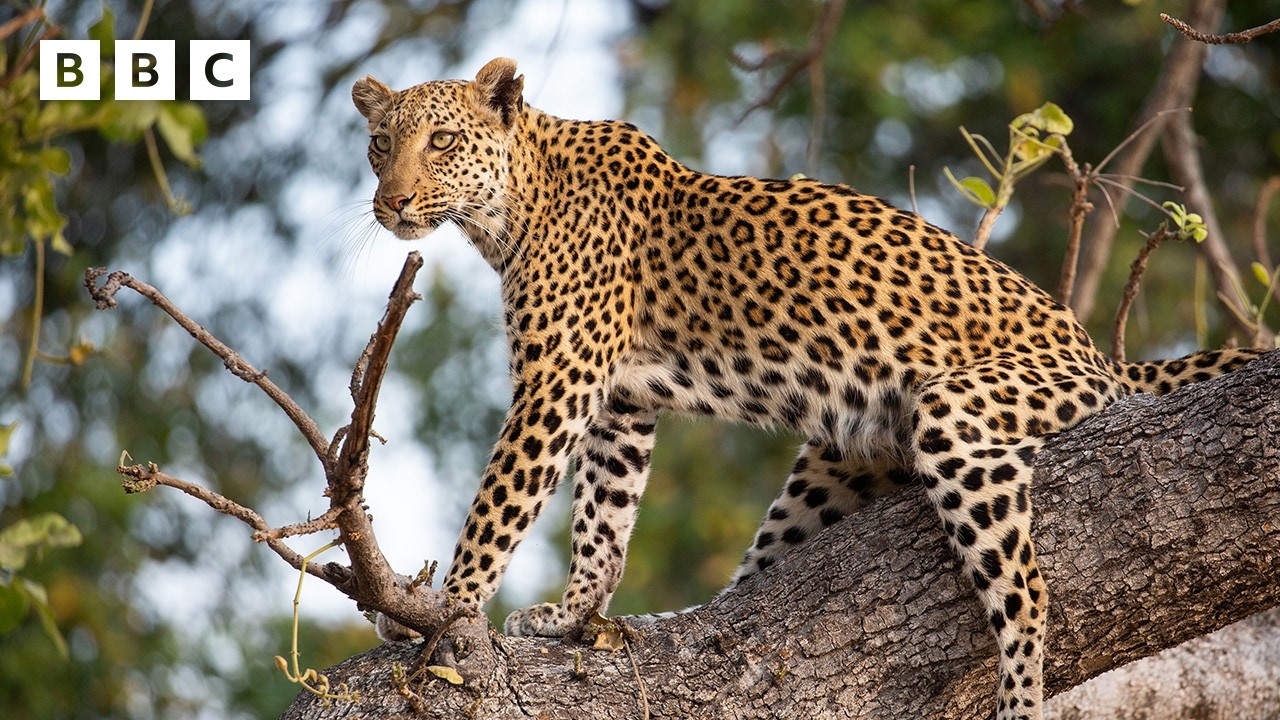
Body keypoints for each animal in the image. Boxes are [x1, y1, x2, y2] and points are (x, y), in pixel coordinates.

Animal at [351, 57, 1263, 720]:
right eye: (380, 144)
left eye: (442, 140)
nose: (390, 201)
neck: (509, 211)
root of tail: (1106, 360)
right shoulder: (620, 403)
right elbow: (604, 518)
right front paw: (573, 616)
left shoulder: (559, 383)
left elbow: (501, 505)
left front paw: (446, 613)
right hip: (832, 466)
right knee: (762, 576)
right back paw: (675, 625)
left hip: (962, 413)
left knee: (1029, 594)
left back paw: (1020, 697)